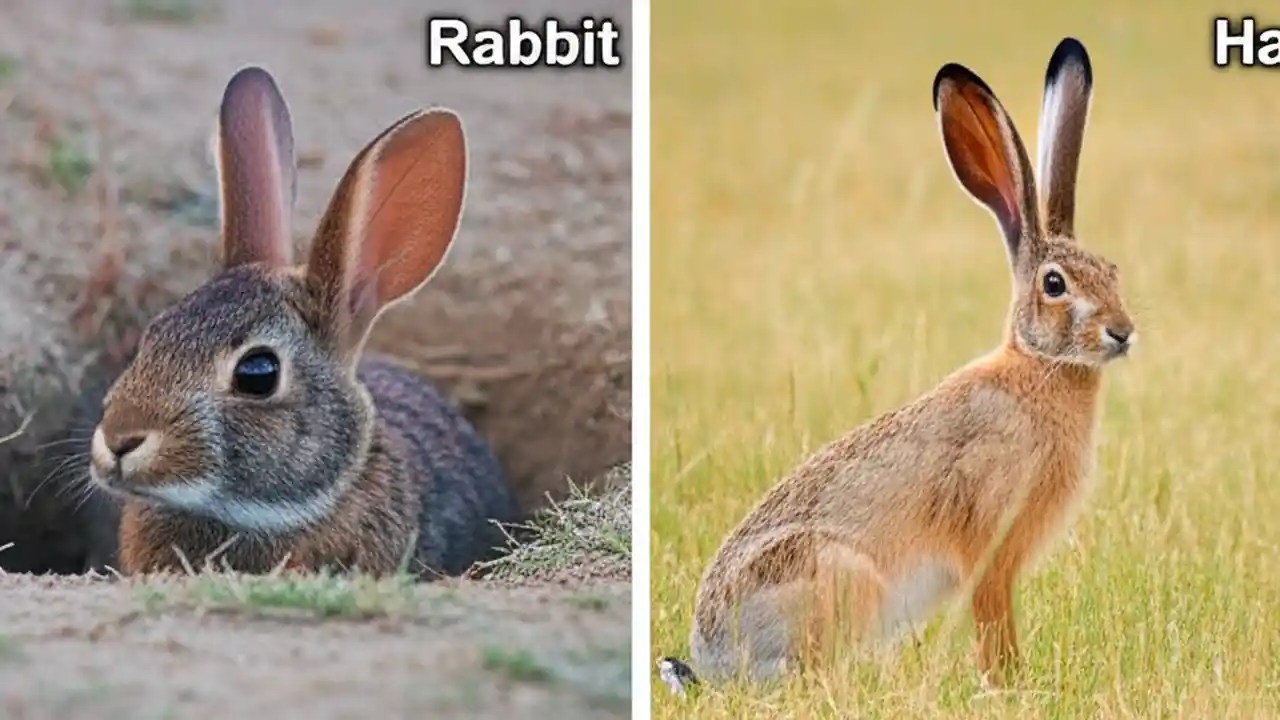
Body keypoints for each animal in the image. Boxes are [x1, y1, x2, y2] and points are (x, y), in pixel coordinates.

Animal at [670, 38, 1133, 690]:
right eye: (1055, 284)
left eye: (1112, 271)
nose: (1123, 332)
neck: (1037, 365)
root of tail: (713, 660)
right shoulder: (989, 543)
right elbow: (992, 618)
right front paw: (1008, 685)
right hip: (839, 577)